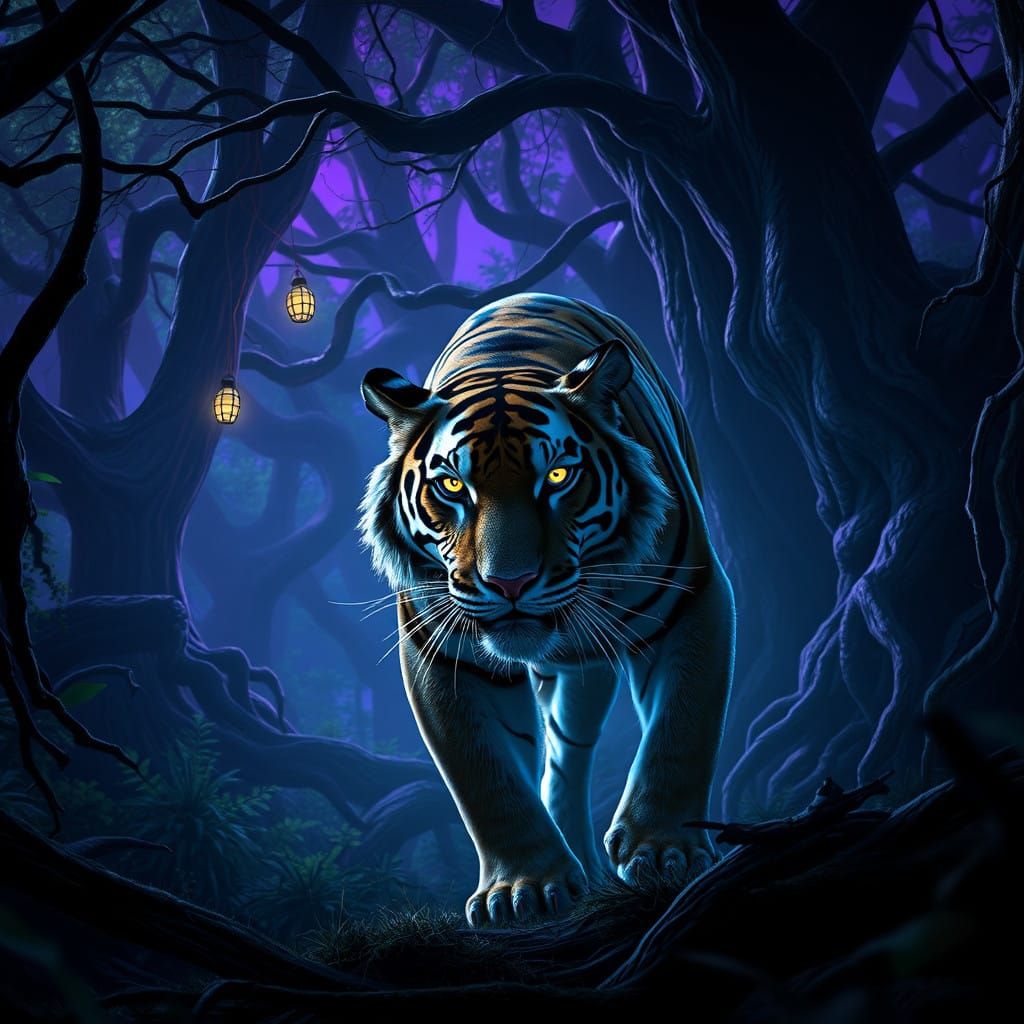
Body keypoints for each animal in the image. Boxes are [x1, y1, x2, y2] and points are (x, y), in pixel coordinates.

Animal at [360, 293, 735, 927]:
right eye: (453, 486)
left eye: (557, 476)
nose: (509, 582)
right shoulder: (443, 653)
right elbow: (485, 779)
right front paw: (525, 889)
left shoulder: (694, 600)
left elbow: (682, 729)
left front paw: (665, 851)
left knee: (571, 754)